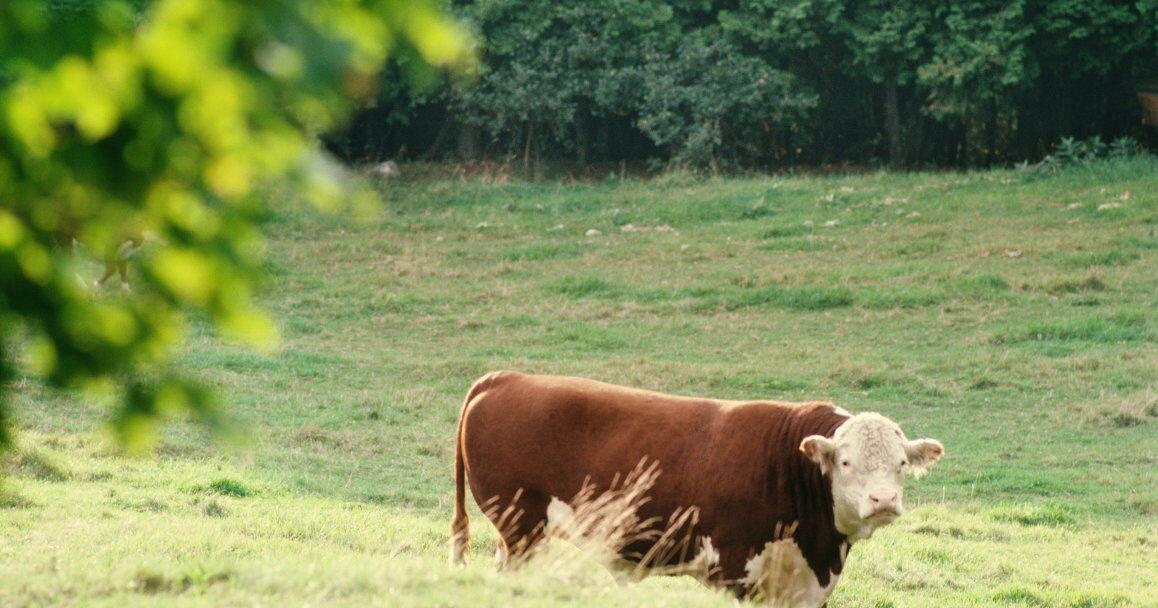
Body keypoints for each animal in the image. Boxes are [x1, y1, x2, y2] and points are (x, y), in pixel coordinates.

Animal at [450, 371, 944, 606]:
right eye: (845, 462)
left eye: (901, 464)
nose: (884, 501)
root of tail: (507, 377)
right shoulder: (734, 569)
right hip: (522, 530)